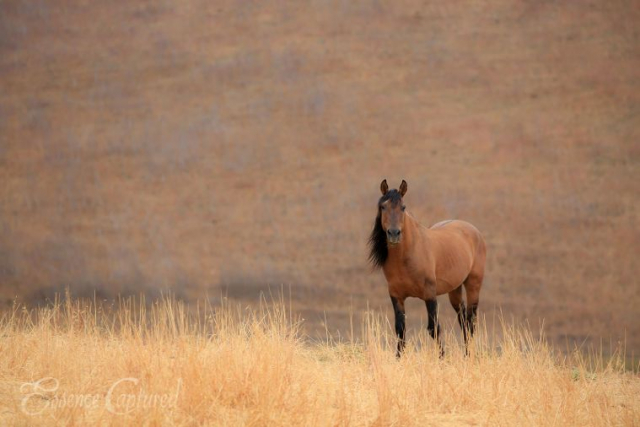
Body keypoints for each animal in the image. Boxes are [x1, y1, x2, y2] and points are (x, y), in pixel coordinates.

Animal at [368, 179, 486, 358]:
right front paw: (398, 359)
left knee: (470, 321)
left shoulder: (430, 294)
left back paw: (468, 355)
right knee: (463, 319)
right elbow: (400, 330)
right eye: (383, 206)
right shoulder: (396, 296)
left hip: (473, 284)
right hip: (455, 290)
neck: (407, 256)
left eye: (403, 207)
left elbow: (434, 329)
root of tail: (474, 230)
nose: (394, 233)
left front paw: (442, 358)